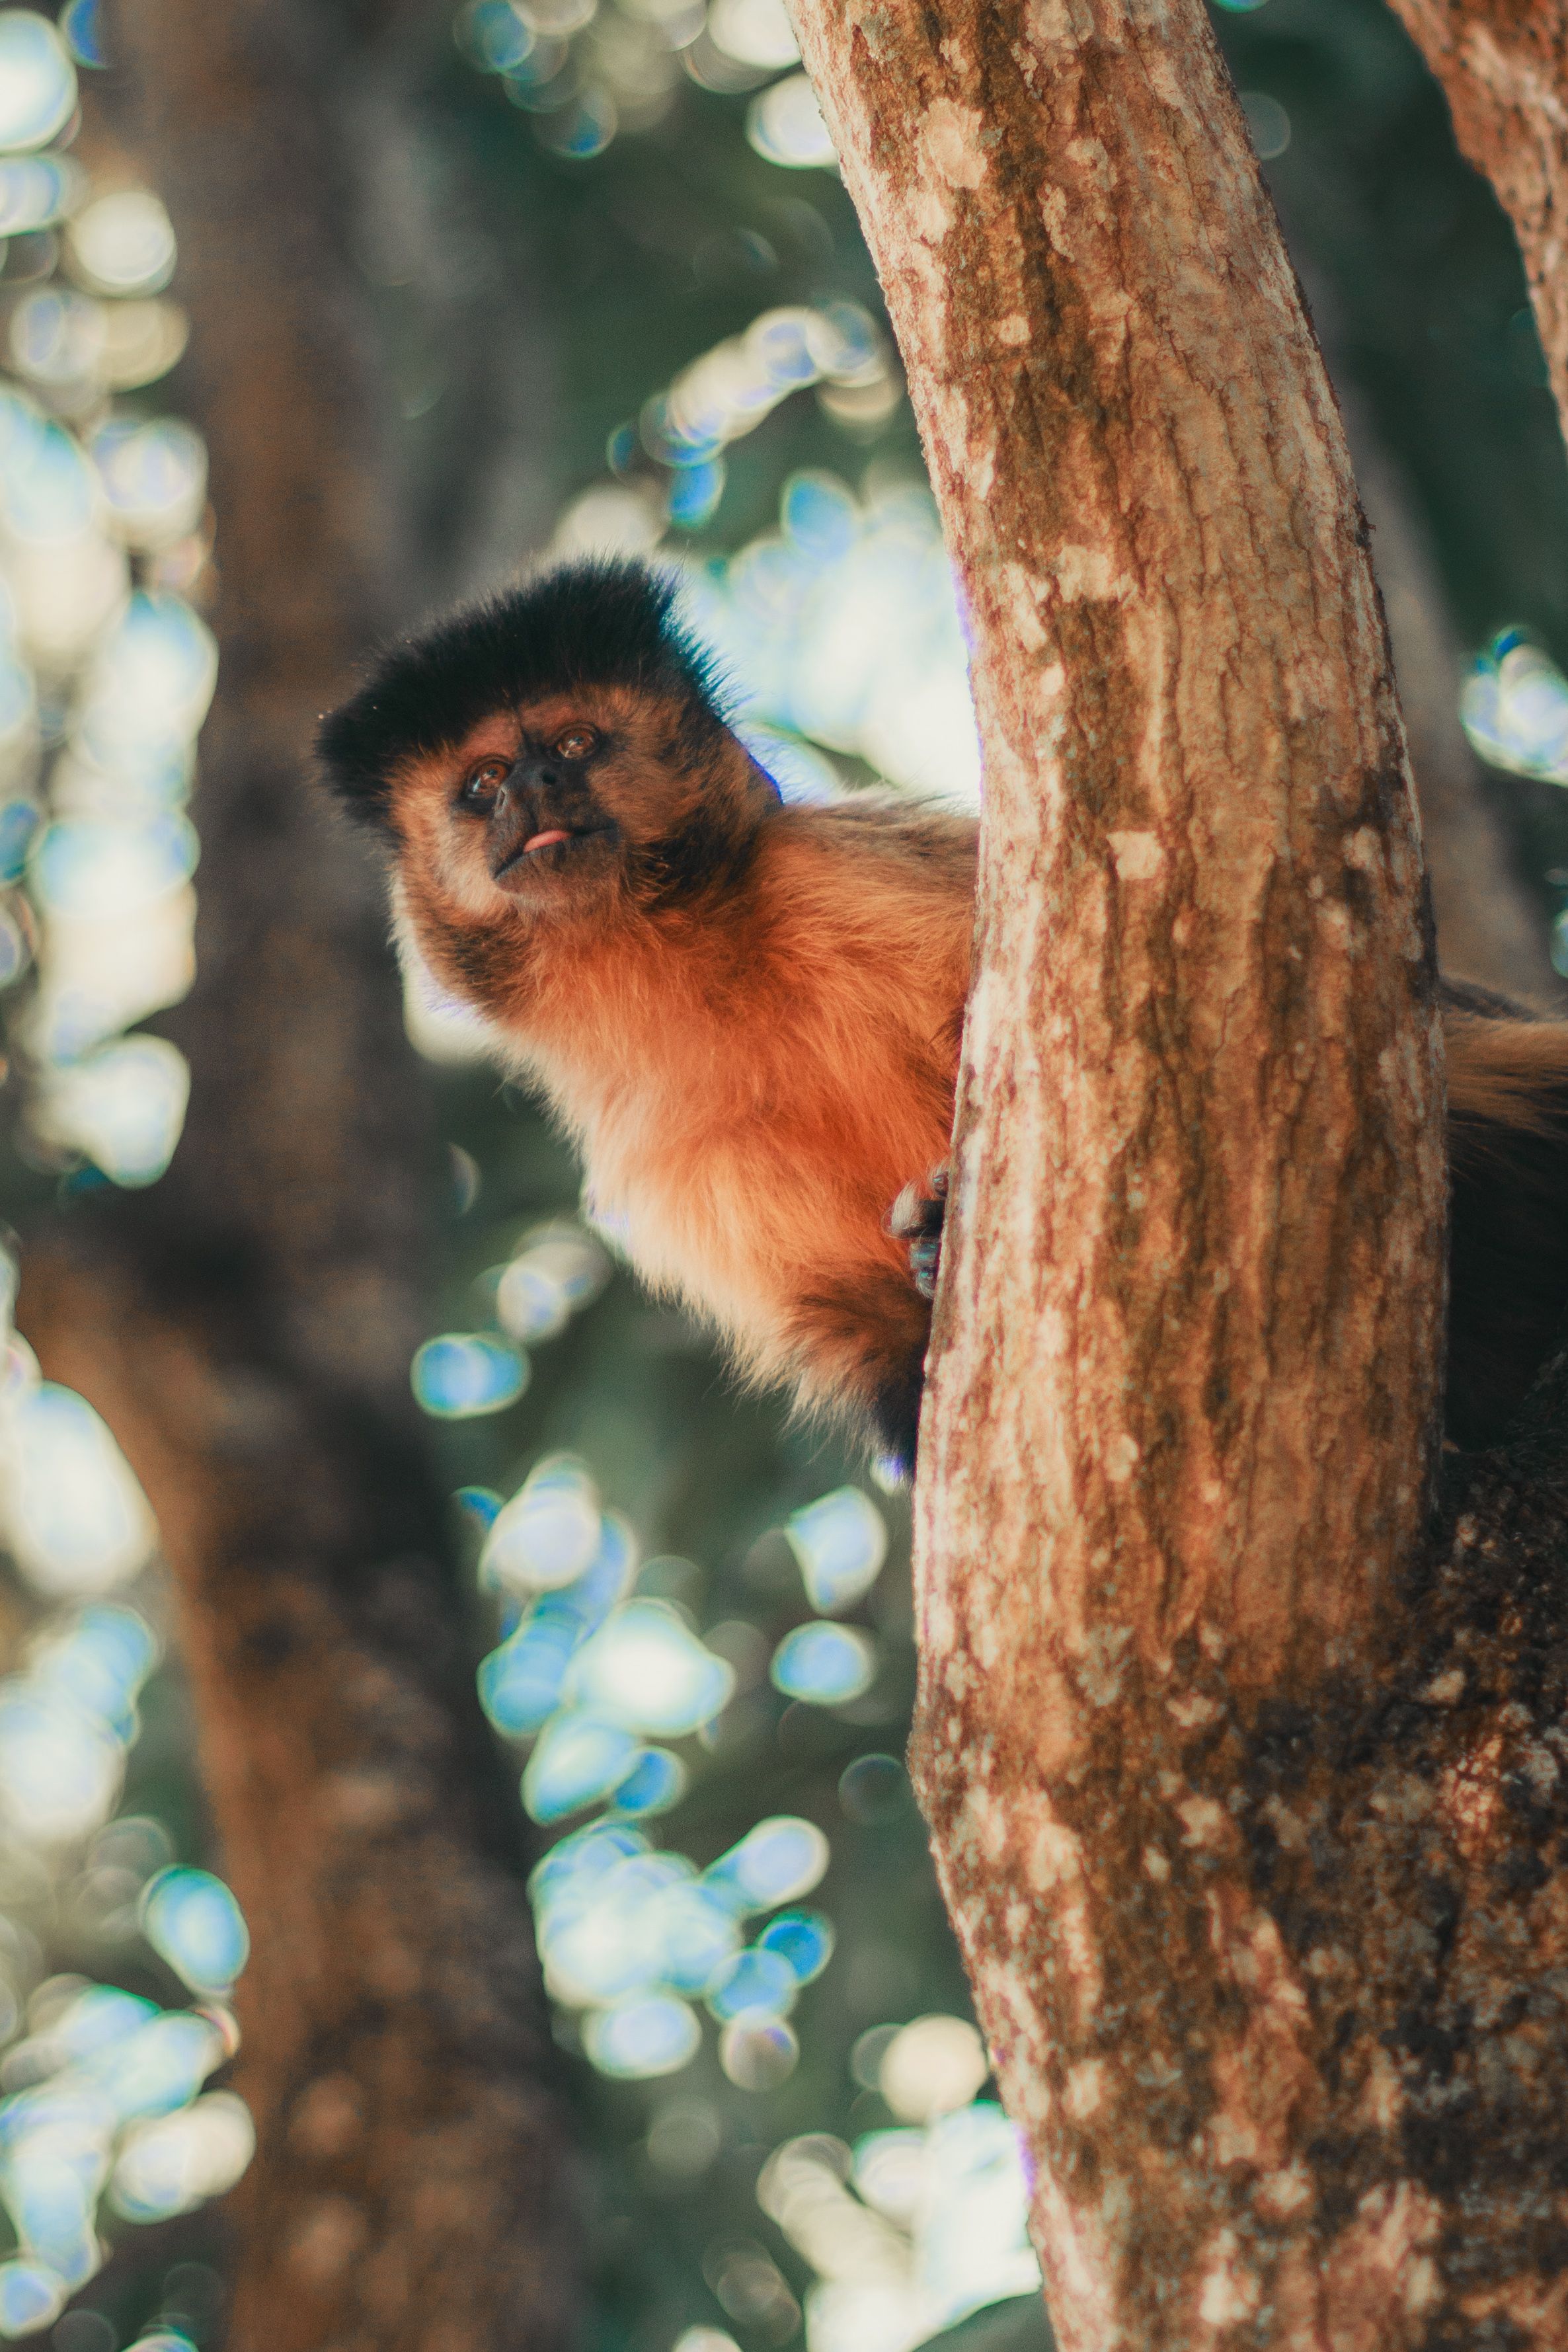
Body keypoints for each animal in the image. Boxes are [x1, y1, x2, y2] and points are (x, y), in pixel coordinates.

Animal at [317, 557, 1568, 1476]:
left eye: (575, 744)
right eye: (482, 784)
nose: (534, 789)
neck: (696, 972)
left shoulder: (840, 874)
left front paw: (944, 1212)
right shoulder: (661, 1146)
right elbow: (879, 1353)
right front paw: (916, 1261)